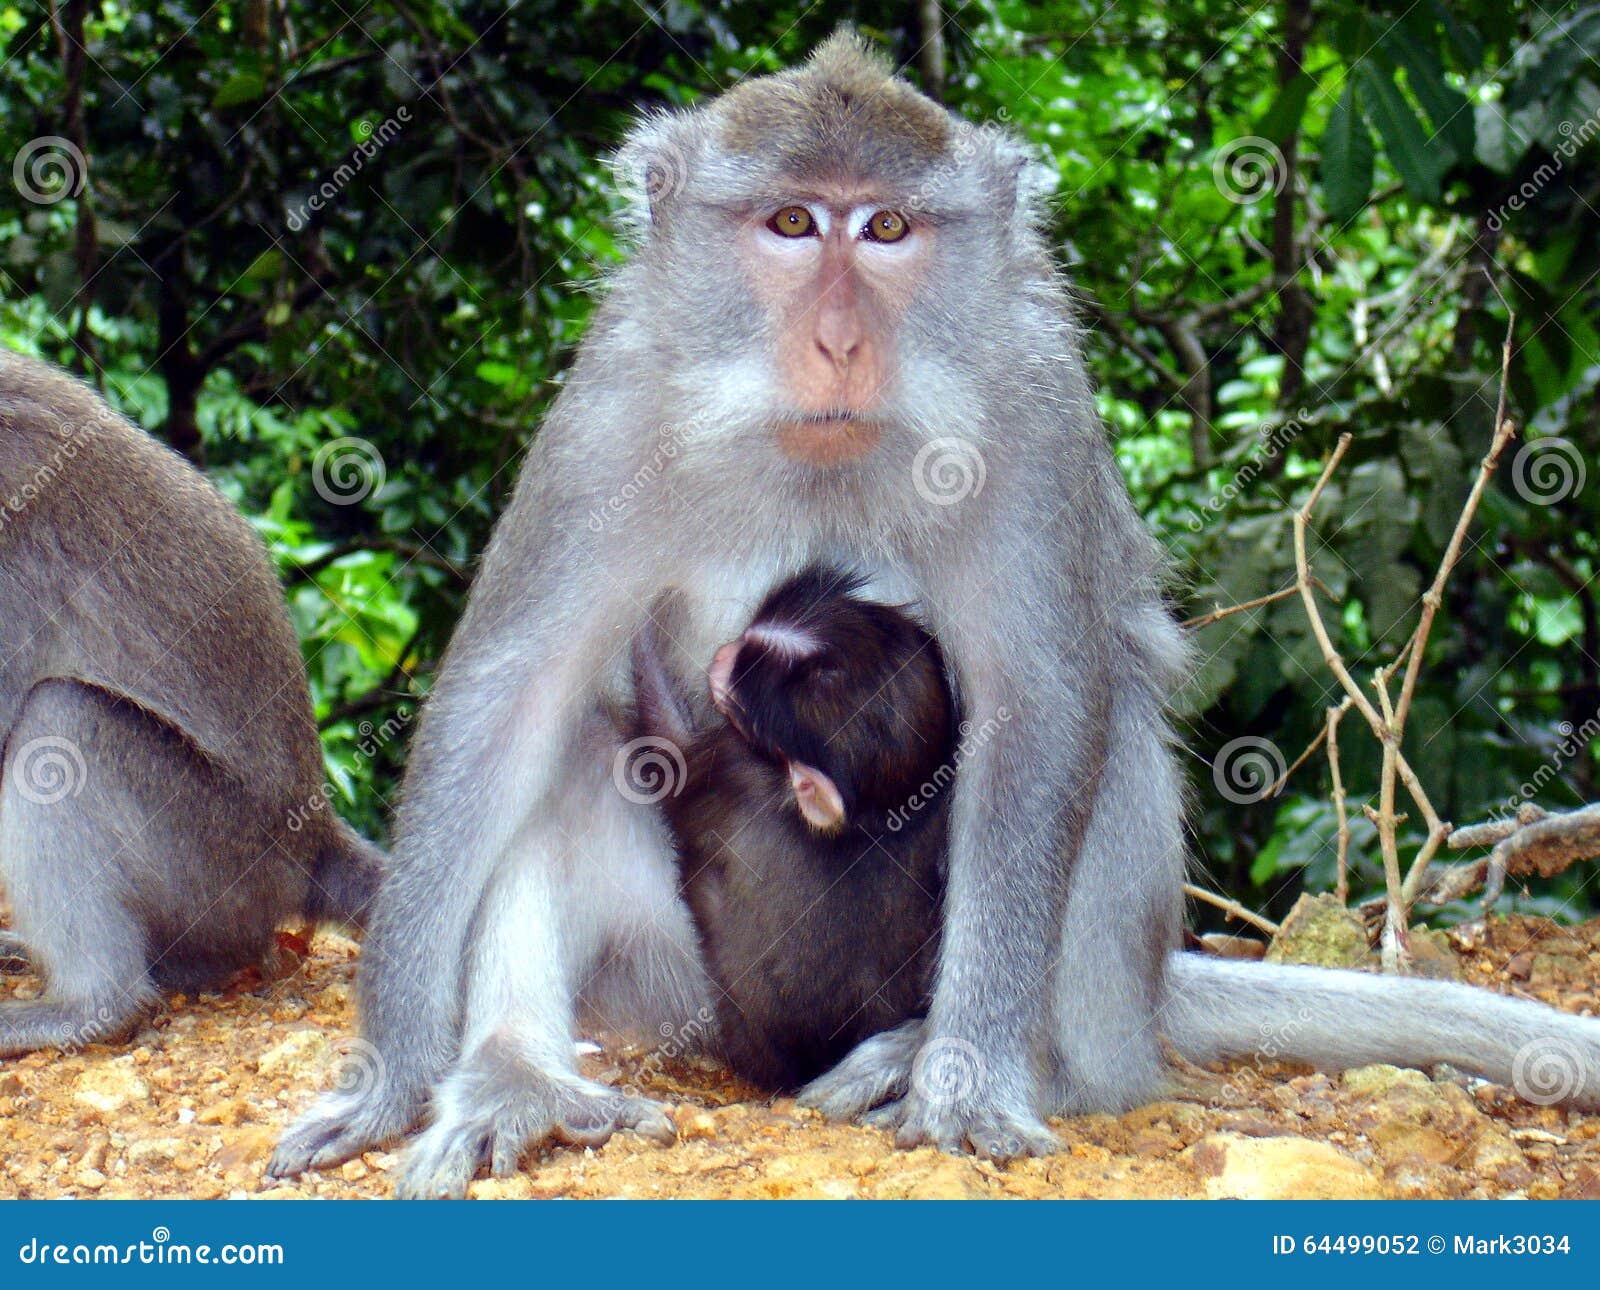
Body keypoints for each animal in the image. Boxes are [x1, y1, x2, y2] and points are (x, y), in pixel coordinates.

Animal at [628, 565, 951, 1090]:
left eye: (747, 672)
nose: (723, 654)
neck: (870, 820)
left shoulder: (737, 771)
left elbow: (667, 757)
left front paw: (647, 624)